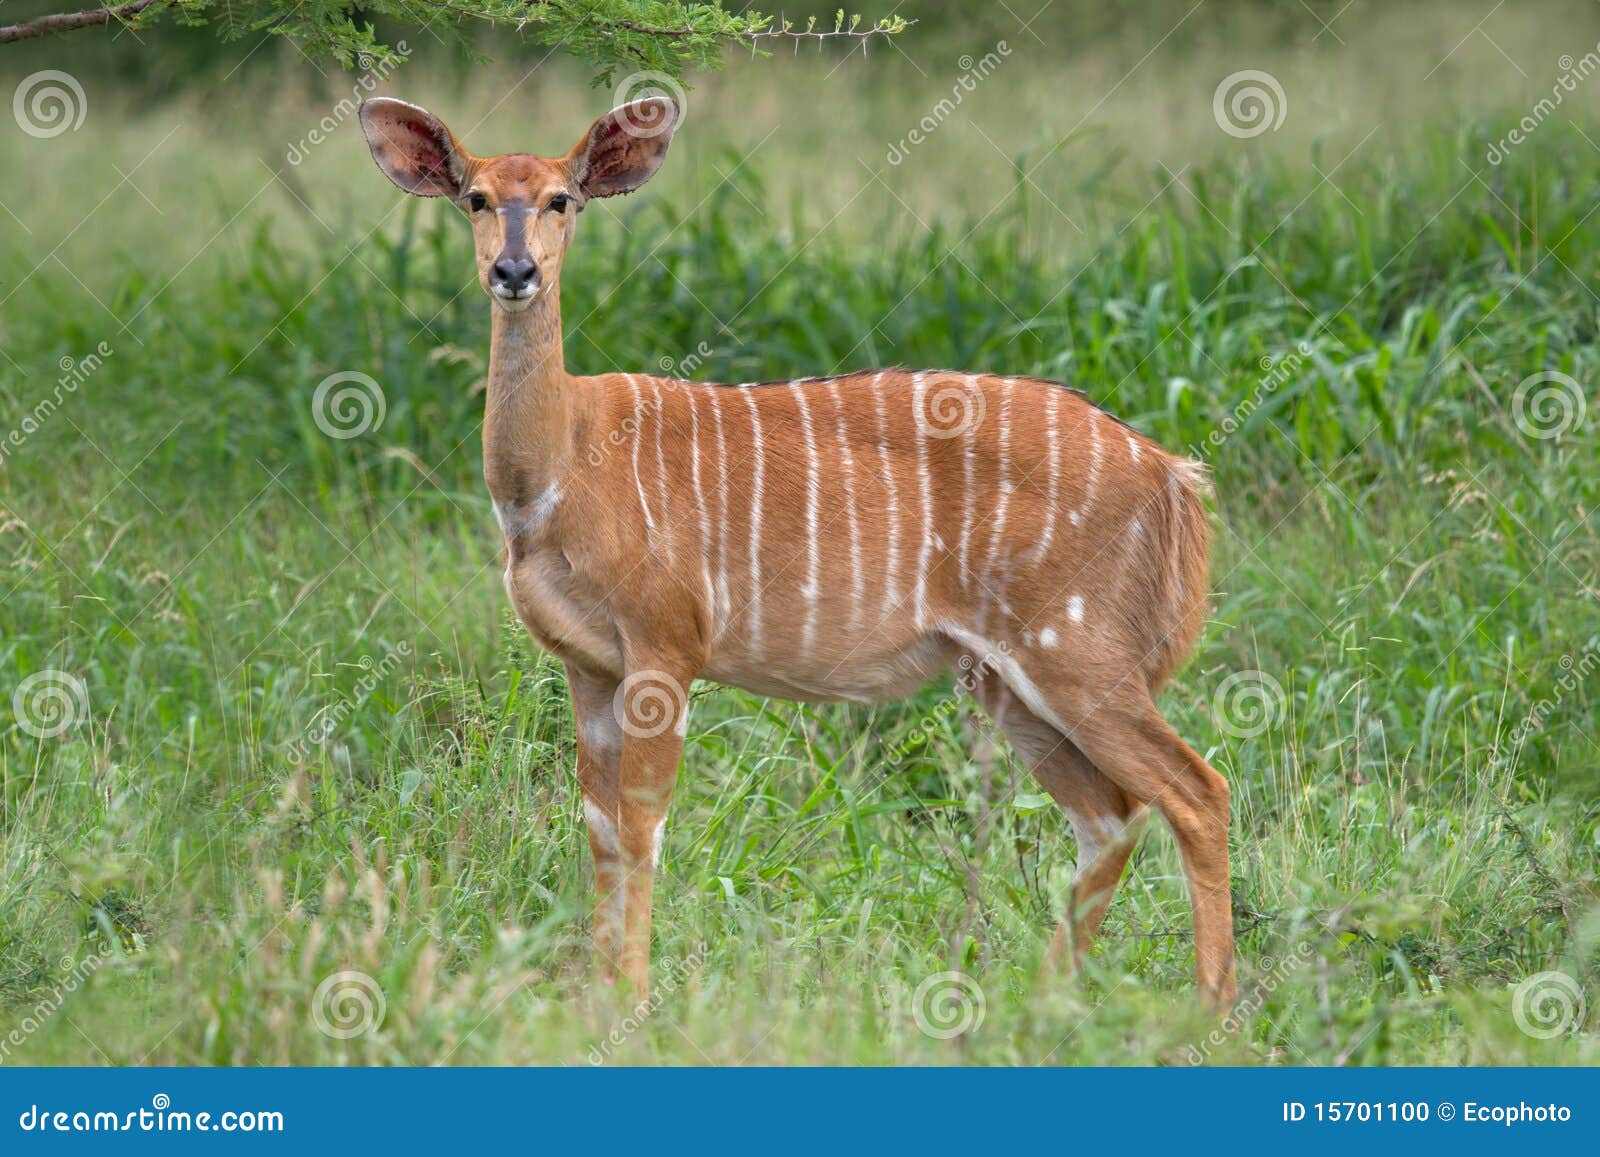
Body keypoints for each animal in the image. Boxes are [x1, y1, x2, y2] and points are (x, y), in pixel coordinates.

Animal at [359, 96, 1238, 1008]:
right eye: (476, 197)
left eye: (562, 198)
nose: (515, 270)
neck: (561, 465)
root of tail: (1172, 473)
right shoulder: (588, 661)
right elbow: (600, 825)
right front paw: (598, 993)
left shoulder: (666, 643)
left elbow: (644, 825)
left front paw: (632, 1000)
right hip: (1005, 674)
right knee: (1110, 812)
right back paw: (1041, 999)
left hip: (1076, 649)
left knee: (1197, 789)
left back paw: (1210, 1007)